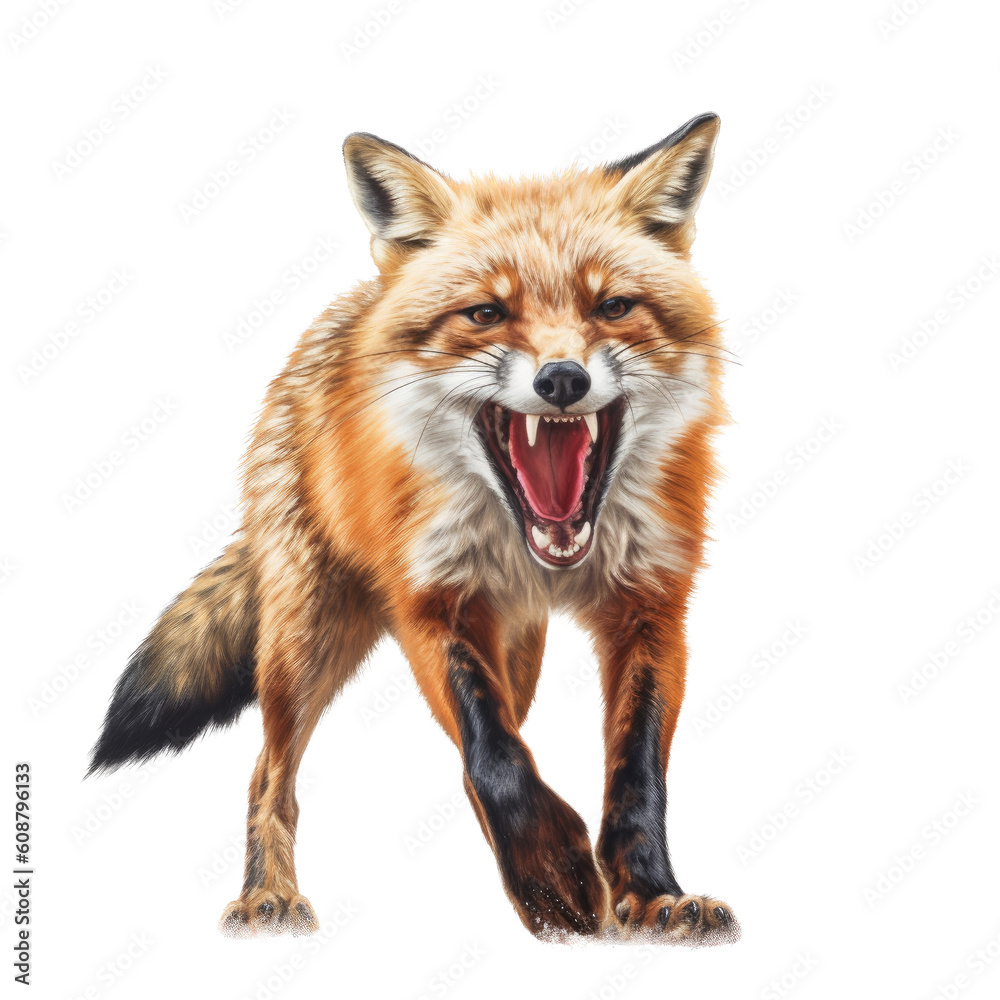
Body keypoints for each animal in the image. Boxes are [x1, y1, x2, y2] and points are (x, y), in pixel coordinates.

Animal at [89, 112, 738, 944]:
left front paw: (649, 895)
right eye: (486, 313)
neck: (542, 554)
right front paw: (553, 867)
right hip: (305, 640)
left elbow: (634, 775)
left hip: (514, 649)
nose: (563, 379)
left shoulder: (652, 607)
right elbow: (492, 749)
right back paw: (269, 896)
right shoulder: (431, 601)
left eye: (614, 307)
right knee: (270, 771)